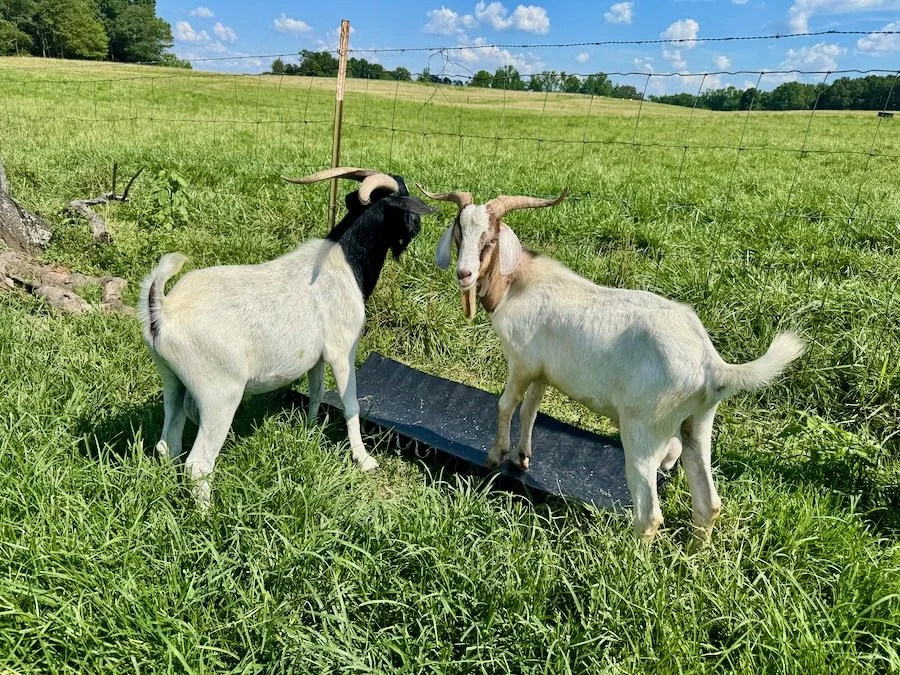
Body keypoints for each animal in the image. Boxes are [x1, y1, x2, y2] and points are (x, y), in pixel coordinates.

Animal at [137, 168, 436, 509]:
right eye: (405, 200)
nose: (417, 228)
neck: (345, 260)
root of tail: (164, 310)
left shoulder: (316, 358)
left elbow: (317, 392)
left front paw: (309, 431)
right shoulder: (342, 350)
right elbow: (350, 404)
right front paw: (364, 460)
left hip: (173, 381)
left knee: (167, 444)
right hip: (219, 394)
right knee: (198, 463)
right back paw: (207, 515)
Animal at [419, 184, 804, 543]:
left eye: (490, 239)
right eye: (459, 232)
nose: (464, 274)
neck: (519, 283)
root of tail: (711, 364)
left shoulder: (521, 364)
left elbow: (506, 405)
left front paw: (495, 456)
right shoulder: (543, 371)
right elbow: (530, 411)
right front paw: (523, 457)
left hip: (643, 432)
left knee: (650, 515)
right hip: (697, 425)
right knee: (708, 503)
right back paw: (697, 555)